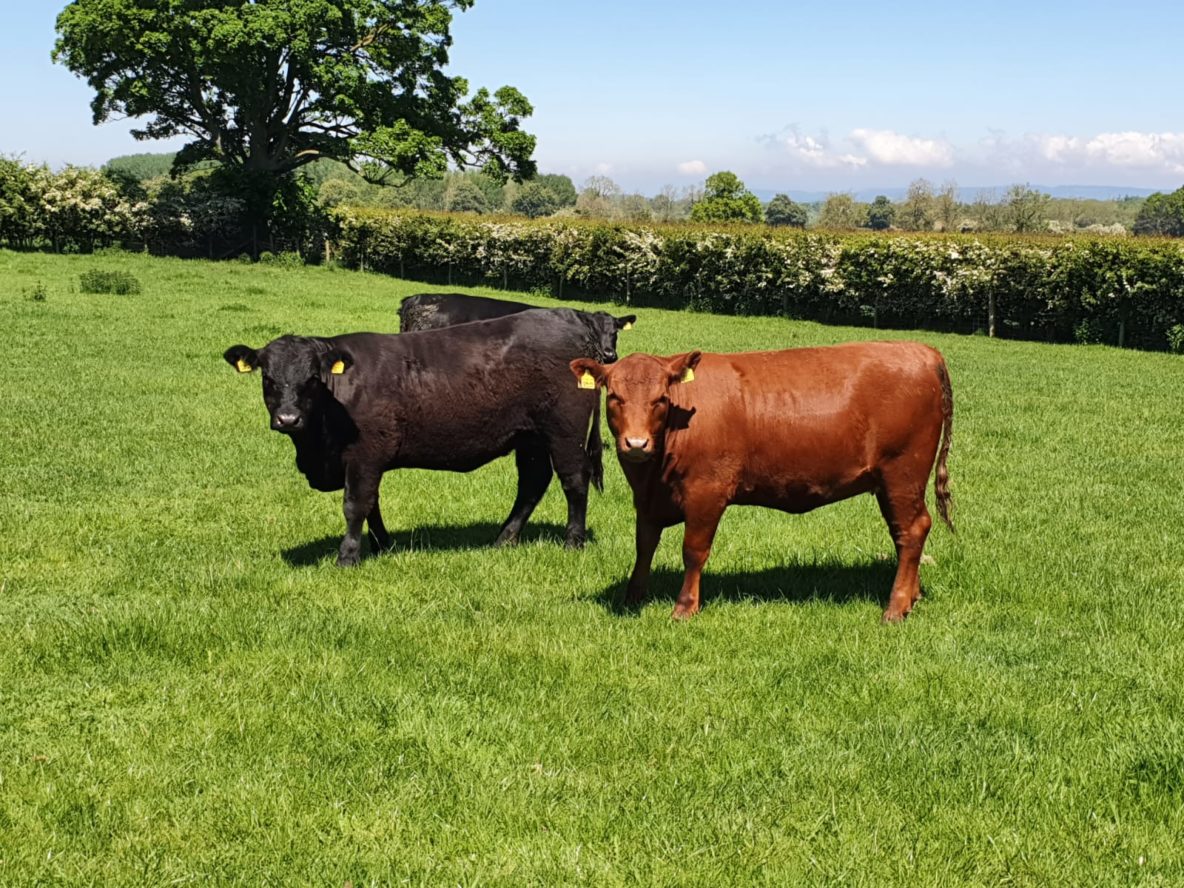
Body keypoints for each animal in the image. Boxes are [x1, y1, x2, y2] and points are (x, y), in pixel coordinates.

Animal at [224, 310, 608, 567]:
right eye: (268, 378)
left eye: (312, 378)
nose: (288, 418)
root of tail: (572, 317)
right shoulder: (366, 461)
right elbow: (373, 504)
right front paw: (383, 545)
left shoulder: (364, 455)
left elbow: (356, 504)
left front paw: (348, 556)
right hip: (530, 438)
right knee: (532, 484)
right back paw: (503, 539)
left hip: (564, 431)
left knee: (574, 481)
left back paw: (573, 543)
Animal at [570, 342, 954, 623]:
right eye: (614, 397)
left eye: (660, 399)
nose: (636, 444)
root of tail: (922, 350)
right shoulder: (648, 499)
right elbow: (645, 545)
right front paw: (633, 596)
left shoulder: (706, 492)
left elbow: (693, 551)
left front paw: (684, 607)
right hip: (892, 483)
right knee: (907, 532)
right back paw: (911, 597)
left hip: (903, 472)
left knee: (912, 530)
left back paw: (896, 607)